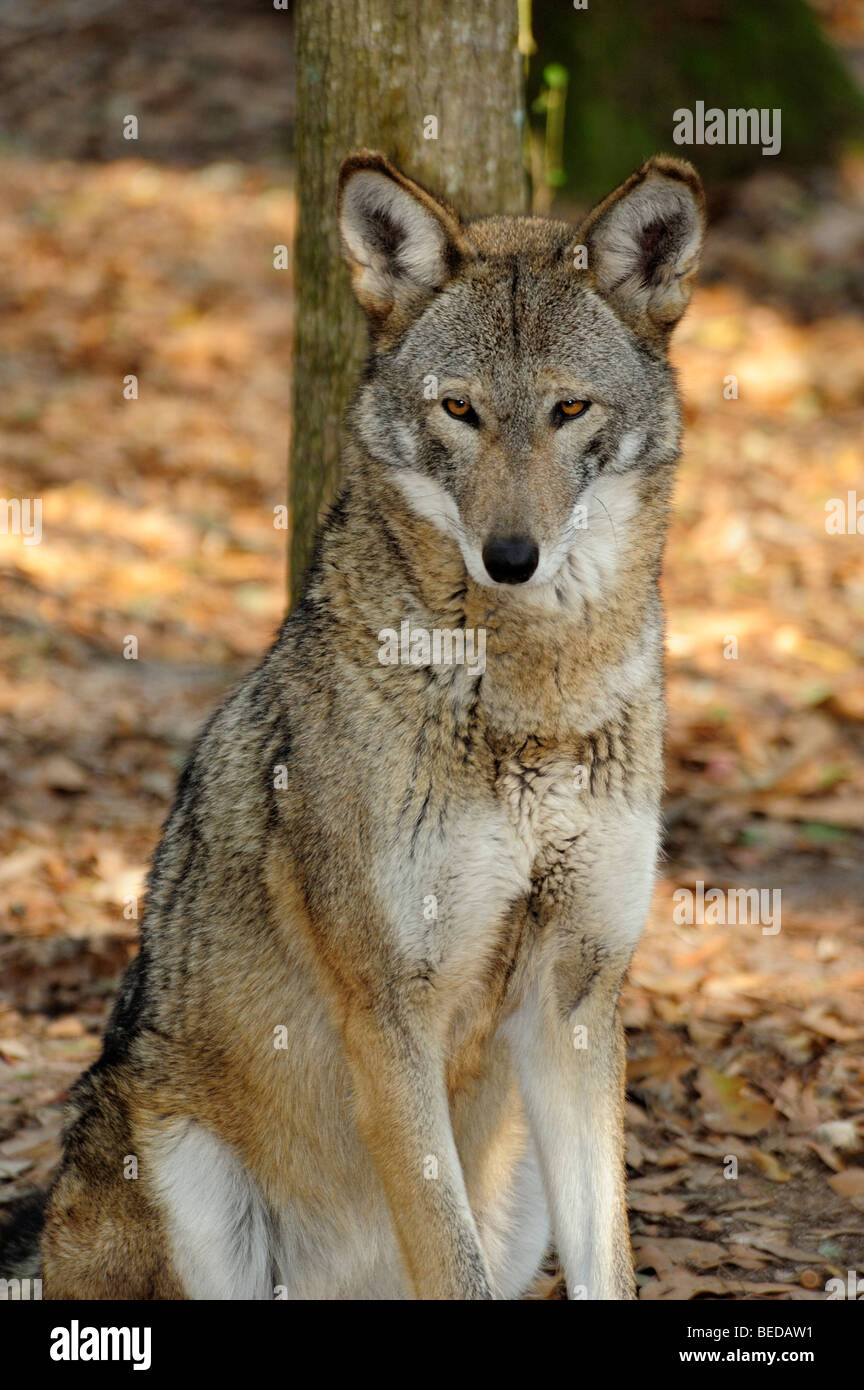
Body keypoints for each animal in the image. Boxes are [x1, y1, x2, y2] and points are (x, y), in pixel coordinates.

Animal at [4, 149, 704, 1300]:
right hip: (189, 1175)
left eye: (569, 408)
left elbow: (610, 1268)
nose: (511, 556)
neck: (531, 701)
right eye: (459, 409)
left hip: (520, 1202)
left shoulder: (576, 1000)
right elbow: (451, 1262)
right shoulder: (390, 1011)